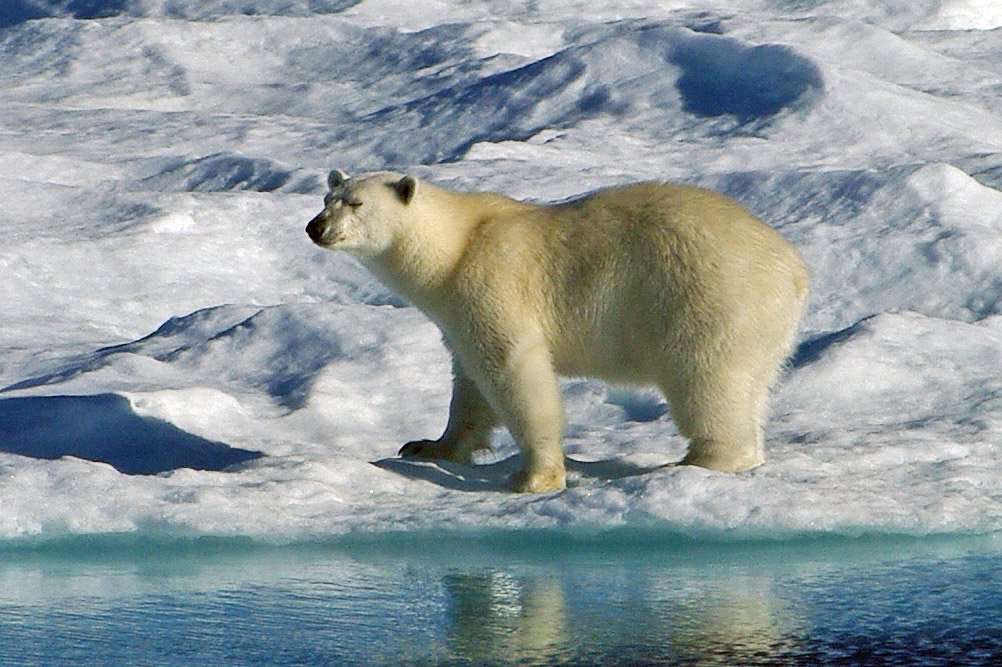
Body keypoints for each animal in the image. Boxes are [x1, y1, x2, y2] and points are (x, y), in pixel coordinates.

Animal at [306, 170, 809, 493]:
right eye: (327, 199)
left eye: (356, 204)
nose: (315, 227)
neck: (454, 247)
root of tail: (793, 268)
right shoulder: (456, 312)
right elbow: (468, 384)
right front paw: (428, 446)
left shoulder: (493, 281)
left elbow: (515, 372)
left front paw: (533, 478)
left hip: (706, 296)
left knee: (705, 378)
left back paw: (699, 459)